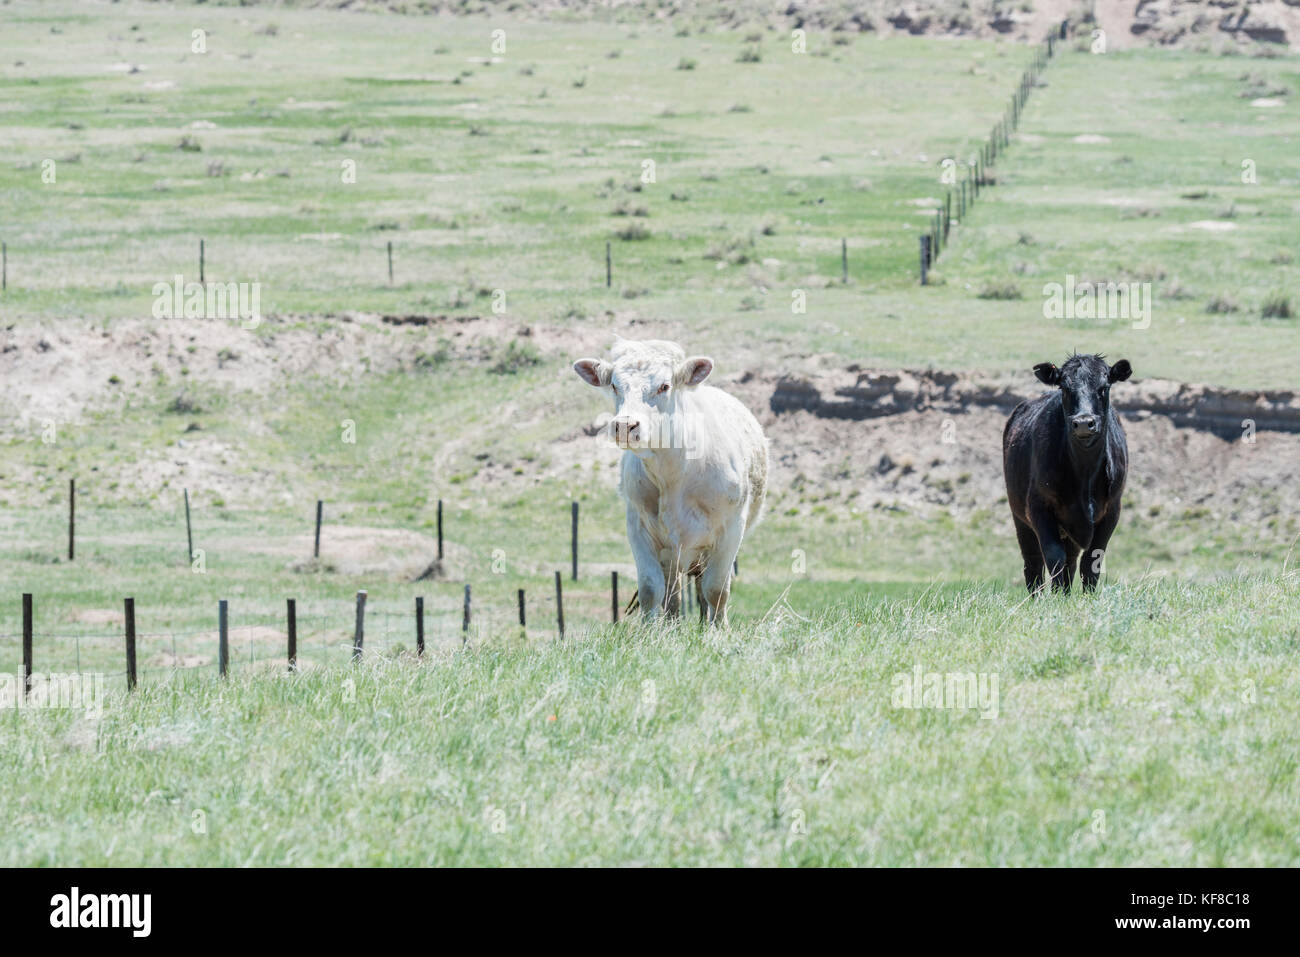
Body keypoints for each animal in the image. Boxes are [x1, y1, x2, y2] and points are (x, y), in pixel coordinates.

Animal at [573, 339, 768, 626]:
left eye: (664, 386)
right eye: (615, 386)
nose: (625, 426)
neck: (674, 475)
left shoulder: (731, 530)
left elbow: (717, 589)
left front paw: (719, 630)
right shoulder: (639, 528)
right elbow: (650, 589)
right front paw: (649, 631)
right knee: (673, 594)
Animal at [1002, 353, 1132, 594]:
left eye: (1104, 387)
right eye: (1064, 387)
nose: (1083, 423)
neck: (1084, 473)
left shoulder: (1112, 510)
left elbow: (1091, 561)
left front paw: (1087, 596)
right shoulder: (1038, 506)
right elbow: (1054, 557)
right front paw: (1056, 599)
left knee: (1071, 562)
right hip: (1020, 518)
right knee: (1033, 562)